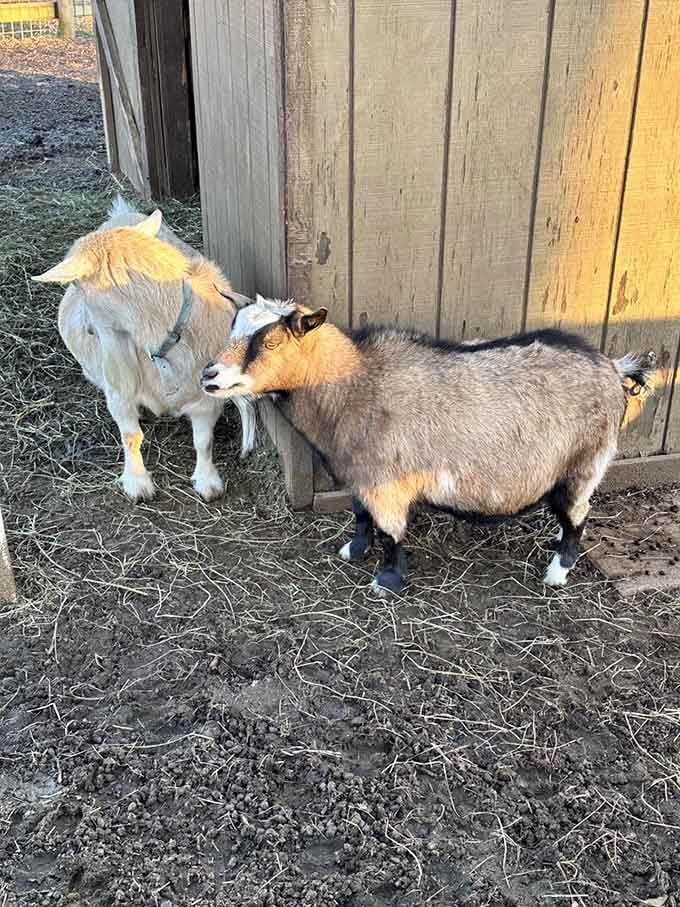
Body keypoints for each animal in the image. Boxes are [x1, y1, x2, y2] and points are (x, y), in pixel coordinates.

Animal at [33, 196, 255, 502]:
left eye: (77, 286)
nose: (88, 328)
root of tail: (122, 214)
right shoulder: (118, 374)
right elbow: (130, 435)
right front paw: (137, 482)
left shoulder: (207, 397)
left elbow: (203, 440)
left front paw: (208, 481)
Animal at [202, 301, 656, 594]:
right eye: (233, 327)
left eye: (271, 342)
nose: (210, 375)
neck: (355, 381)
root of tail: (612, 368)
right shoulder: (360, 475)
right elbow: (361, 516)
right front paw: (353, 550)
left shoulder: (386, 483)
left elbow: (390, 533)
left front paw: (386, 581)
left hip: (584, 463)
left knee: (578, 513)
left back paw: (559, 570)